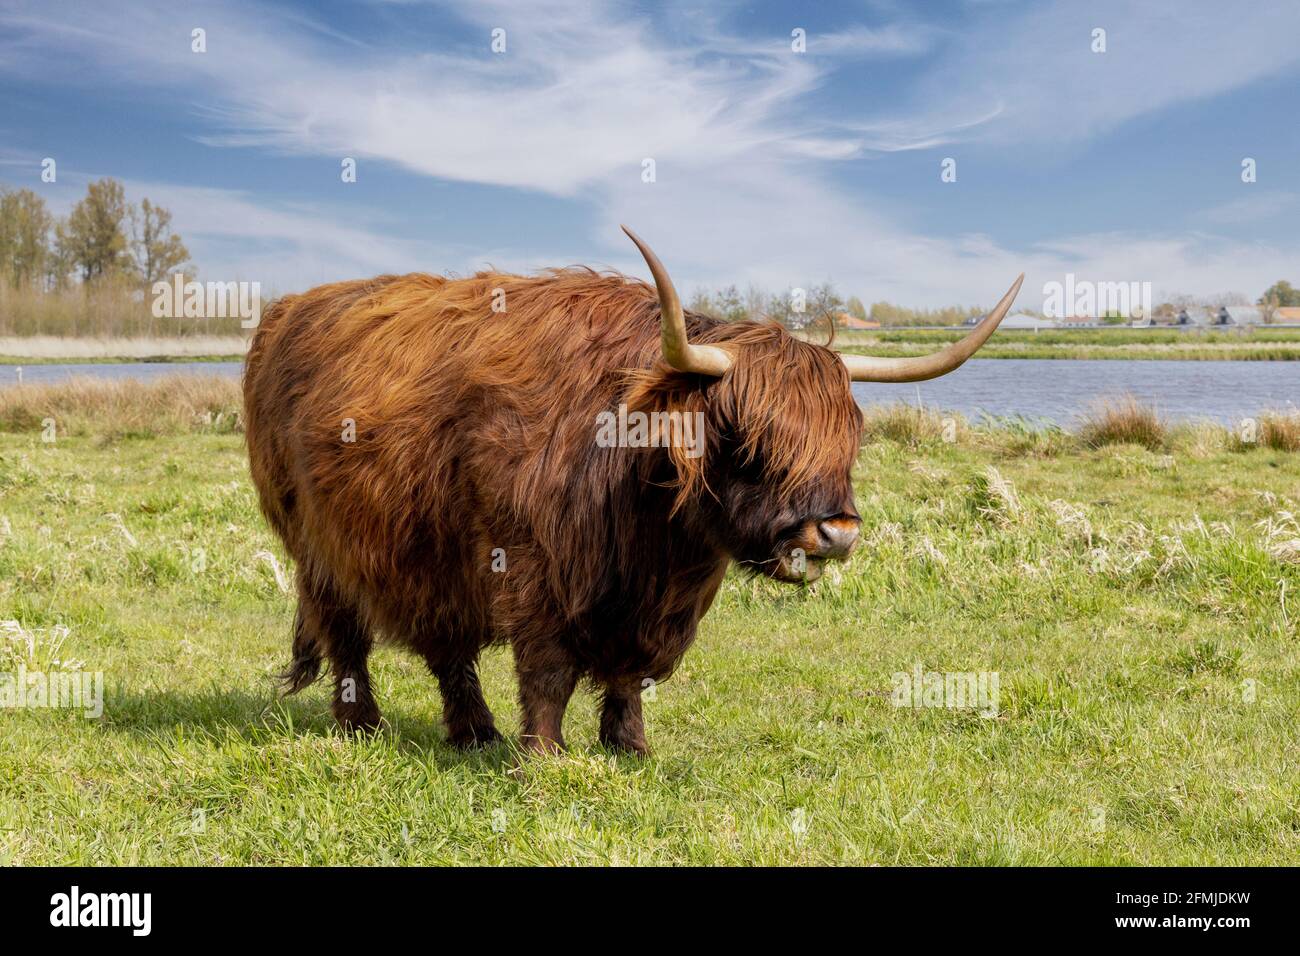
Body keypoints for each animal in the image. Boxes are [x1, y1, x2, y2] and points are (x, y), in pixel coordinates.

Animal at [242, 227, 1021, 754]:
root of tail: (287, 309)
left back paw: (474, 732)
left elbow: (632, 673)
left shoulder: (657, 602)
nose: (836, 532)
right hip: (317, 547)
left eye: (848, 440)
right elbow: (549, 671)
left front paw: (630, 746)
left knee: (447, 648)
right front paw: (545, 757)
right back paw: (364, 727)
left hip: (430, 558)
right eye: (746, 436)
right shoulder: (532, 569)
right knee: (347, 635)